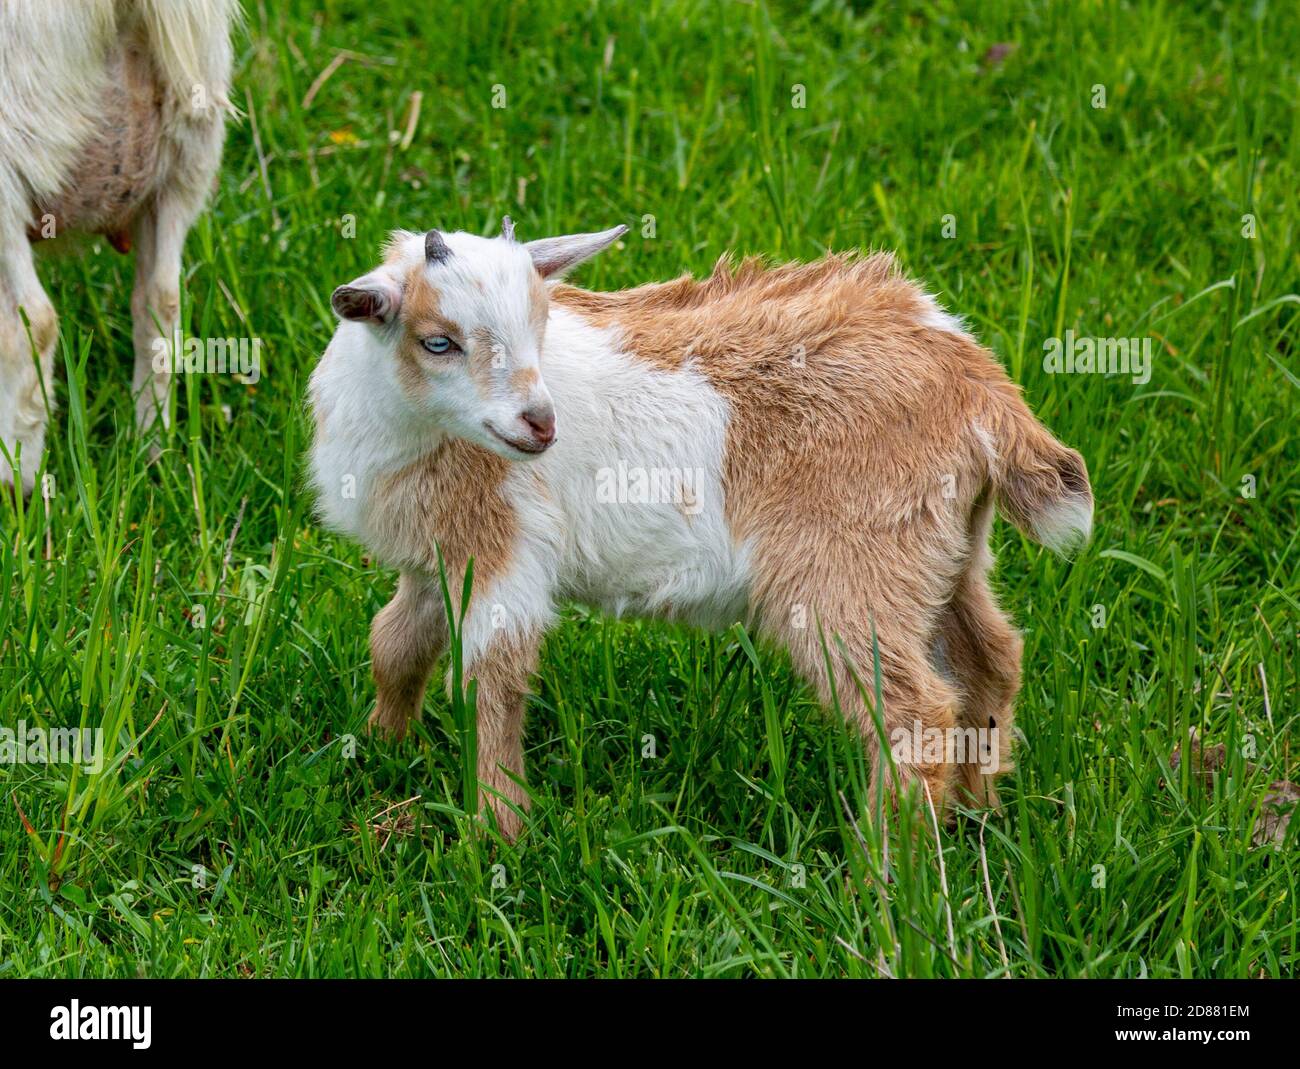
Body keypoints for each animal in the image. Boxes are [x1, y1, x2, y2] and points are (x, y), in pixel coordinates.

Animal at [308, 221, 1093, 841]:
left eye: (539, 322)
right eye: (438, 341)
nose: (541, 424)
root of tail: (976, 381)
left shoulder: (504, 556)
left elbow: (487, 682)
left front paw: (498, 831)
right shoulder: (435, 558)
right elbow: (395, 644)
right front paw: (382, 744)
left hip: (849, 566)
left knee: (914, 710)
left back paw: (883, 874)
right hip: (945, 548)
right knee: (991, 658)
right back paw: (980, 812)